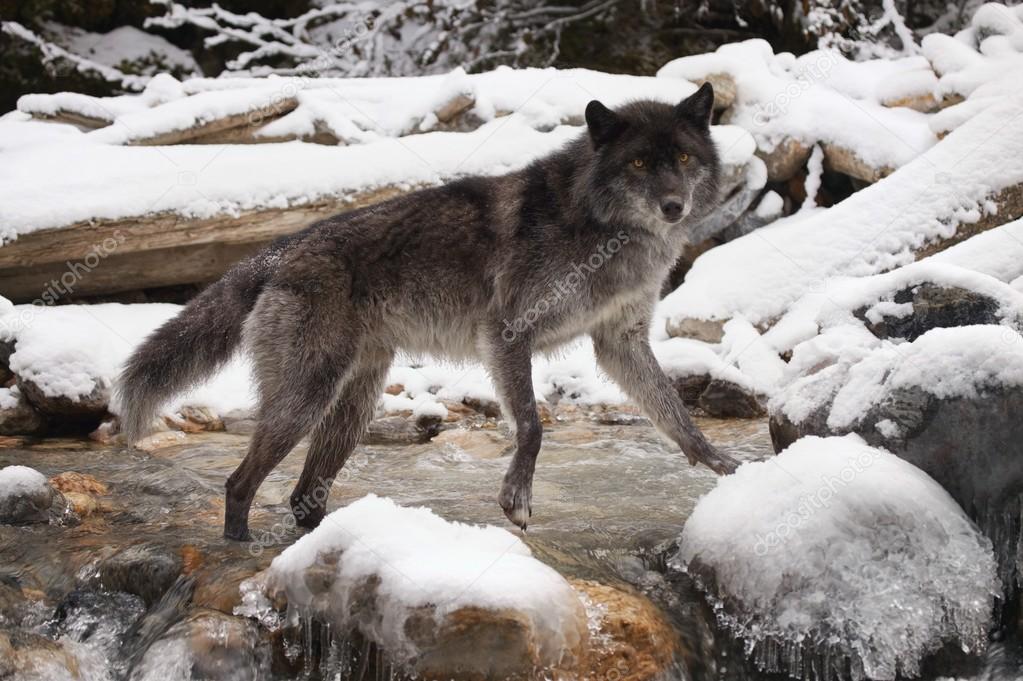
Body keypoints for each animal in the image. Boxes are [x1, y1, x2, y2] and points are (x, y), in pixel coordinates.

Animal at [117, 82, 739, 541]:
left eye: (683, 157)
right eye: (638, 163)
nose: (674, 205)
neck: (604, 229)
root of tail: (280, 250)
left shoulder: (619, 342)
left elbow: (676, 416)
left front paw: (723, 468)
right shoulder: (507, 334)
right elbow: (533, 426)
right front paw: (516, 501)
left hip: (352, 408)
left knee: (300, 497)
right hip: (305, 400)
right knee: (239, 483)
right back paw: (240, 545)